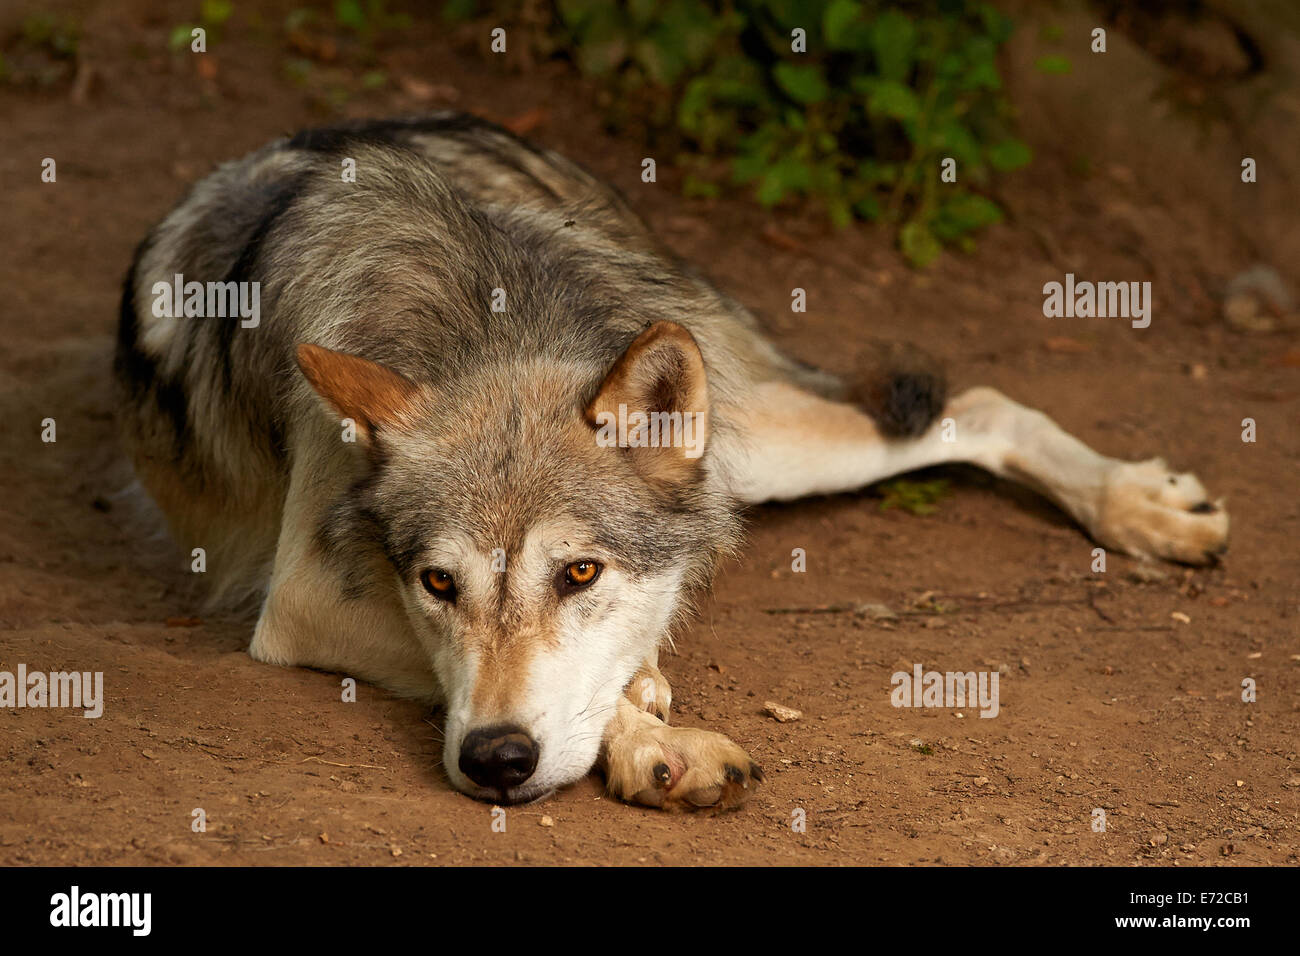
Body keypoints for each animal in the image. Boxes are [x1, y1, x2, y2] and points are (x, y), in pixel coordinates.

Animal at [115, 113, 1229, 809]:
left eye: (579, 573)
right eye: (436, 584)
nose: (495, 763)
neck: (483, 319)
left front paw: (641, 719)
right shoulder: (303, 599)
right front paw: (650, 735)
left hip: (750, 437)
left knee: (976, 403)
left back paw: (1140, 506)